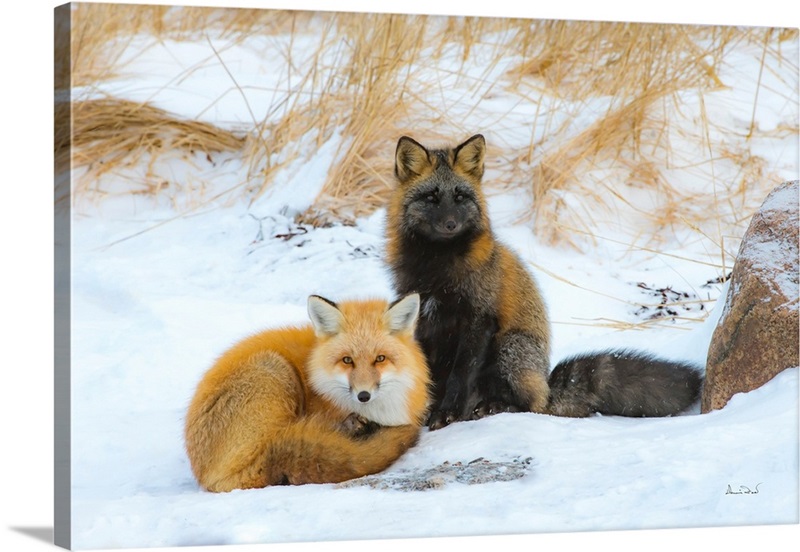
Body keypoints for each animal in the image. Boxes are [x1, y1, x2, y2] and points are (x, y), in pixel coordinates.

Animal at [386, 133, 702, 430]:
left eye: (460, 197)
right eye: (431, 198)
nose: (451, 224)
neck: (438, 269)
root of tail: (549, 385)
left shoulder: (478, 318)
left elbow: (459, 376)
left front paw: (447, 413)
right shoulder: (424, 319)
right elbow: (428, 375)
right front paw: (425, 412)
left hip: (510, 347)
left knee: (530, 406)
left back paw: (495, 406)